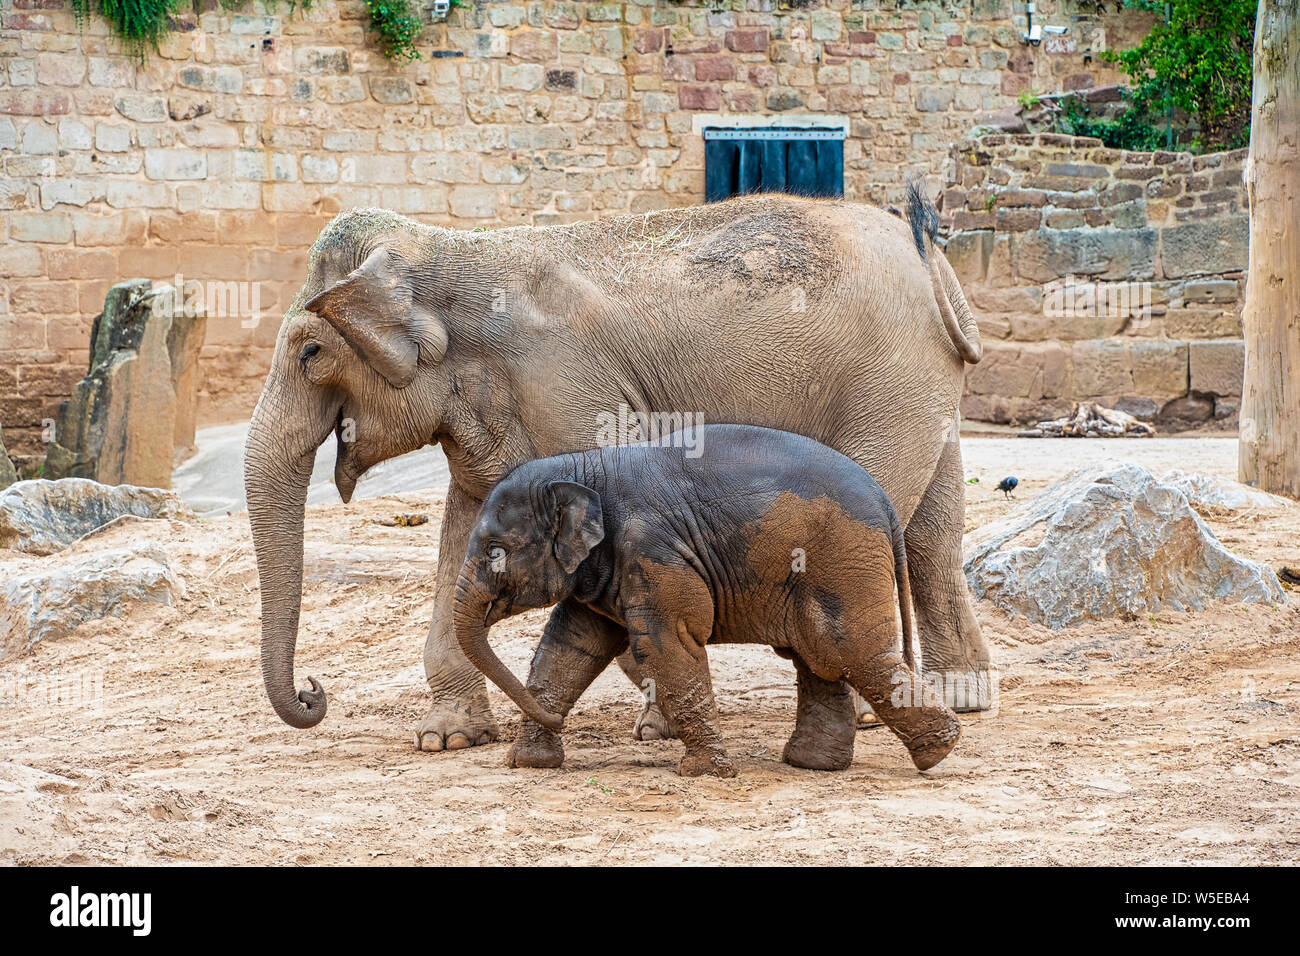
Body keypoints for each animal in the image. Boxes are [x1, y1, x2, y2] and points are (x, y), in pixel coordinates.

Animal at [452, 425, 963, 777]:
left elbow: (668, 642)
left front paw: (704, 773)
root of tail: (886, 502)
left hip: (840, 559)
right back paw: (813, 765)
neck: (581, 468)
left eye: (495, 550)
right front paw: (528, 763)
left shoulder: (653, 551)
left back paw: (938, 752)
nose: (562, 725)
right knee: (819, 658)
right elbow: (572, 646)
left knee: (848, 651)